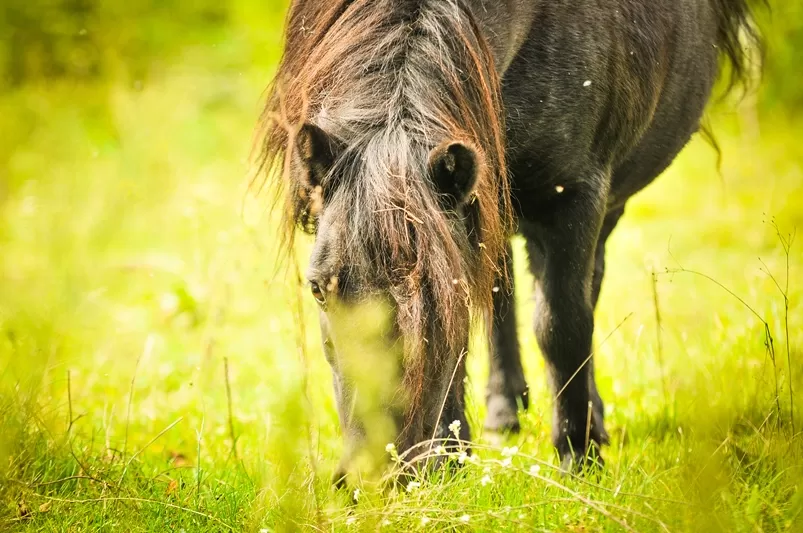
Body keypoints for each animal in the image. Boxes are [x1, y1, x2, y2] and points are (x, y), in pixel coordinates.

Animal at [254, 0, 764, 480]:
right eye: (316, 289)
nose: (373, 472)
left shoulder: (575, 197)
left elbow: (562, 326)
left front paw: (579, 459)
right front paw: (451, 459)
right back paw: (503, 412)